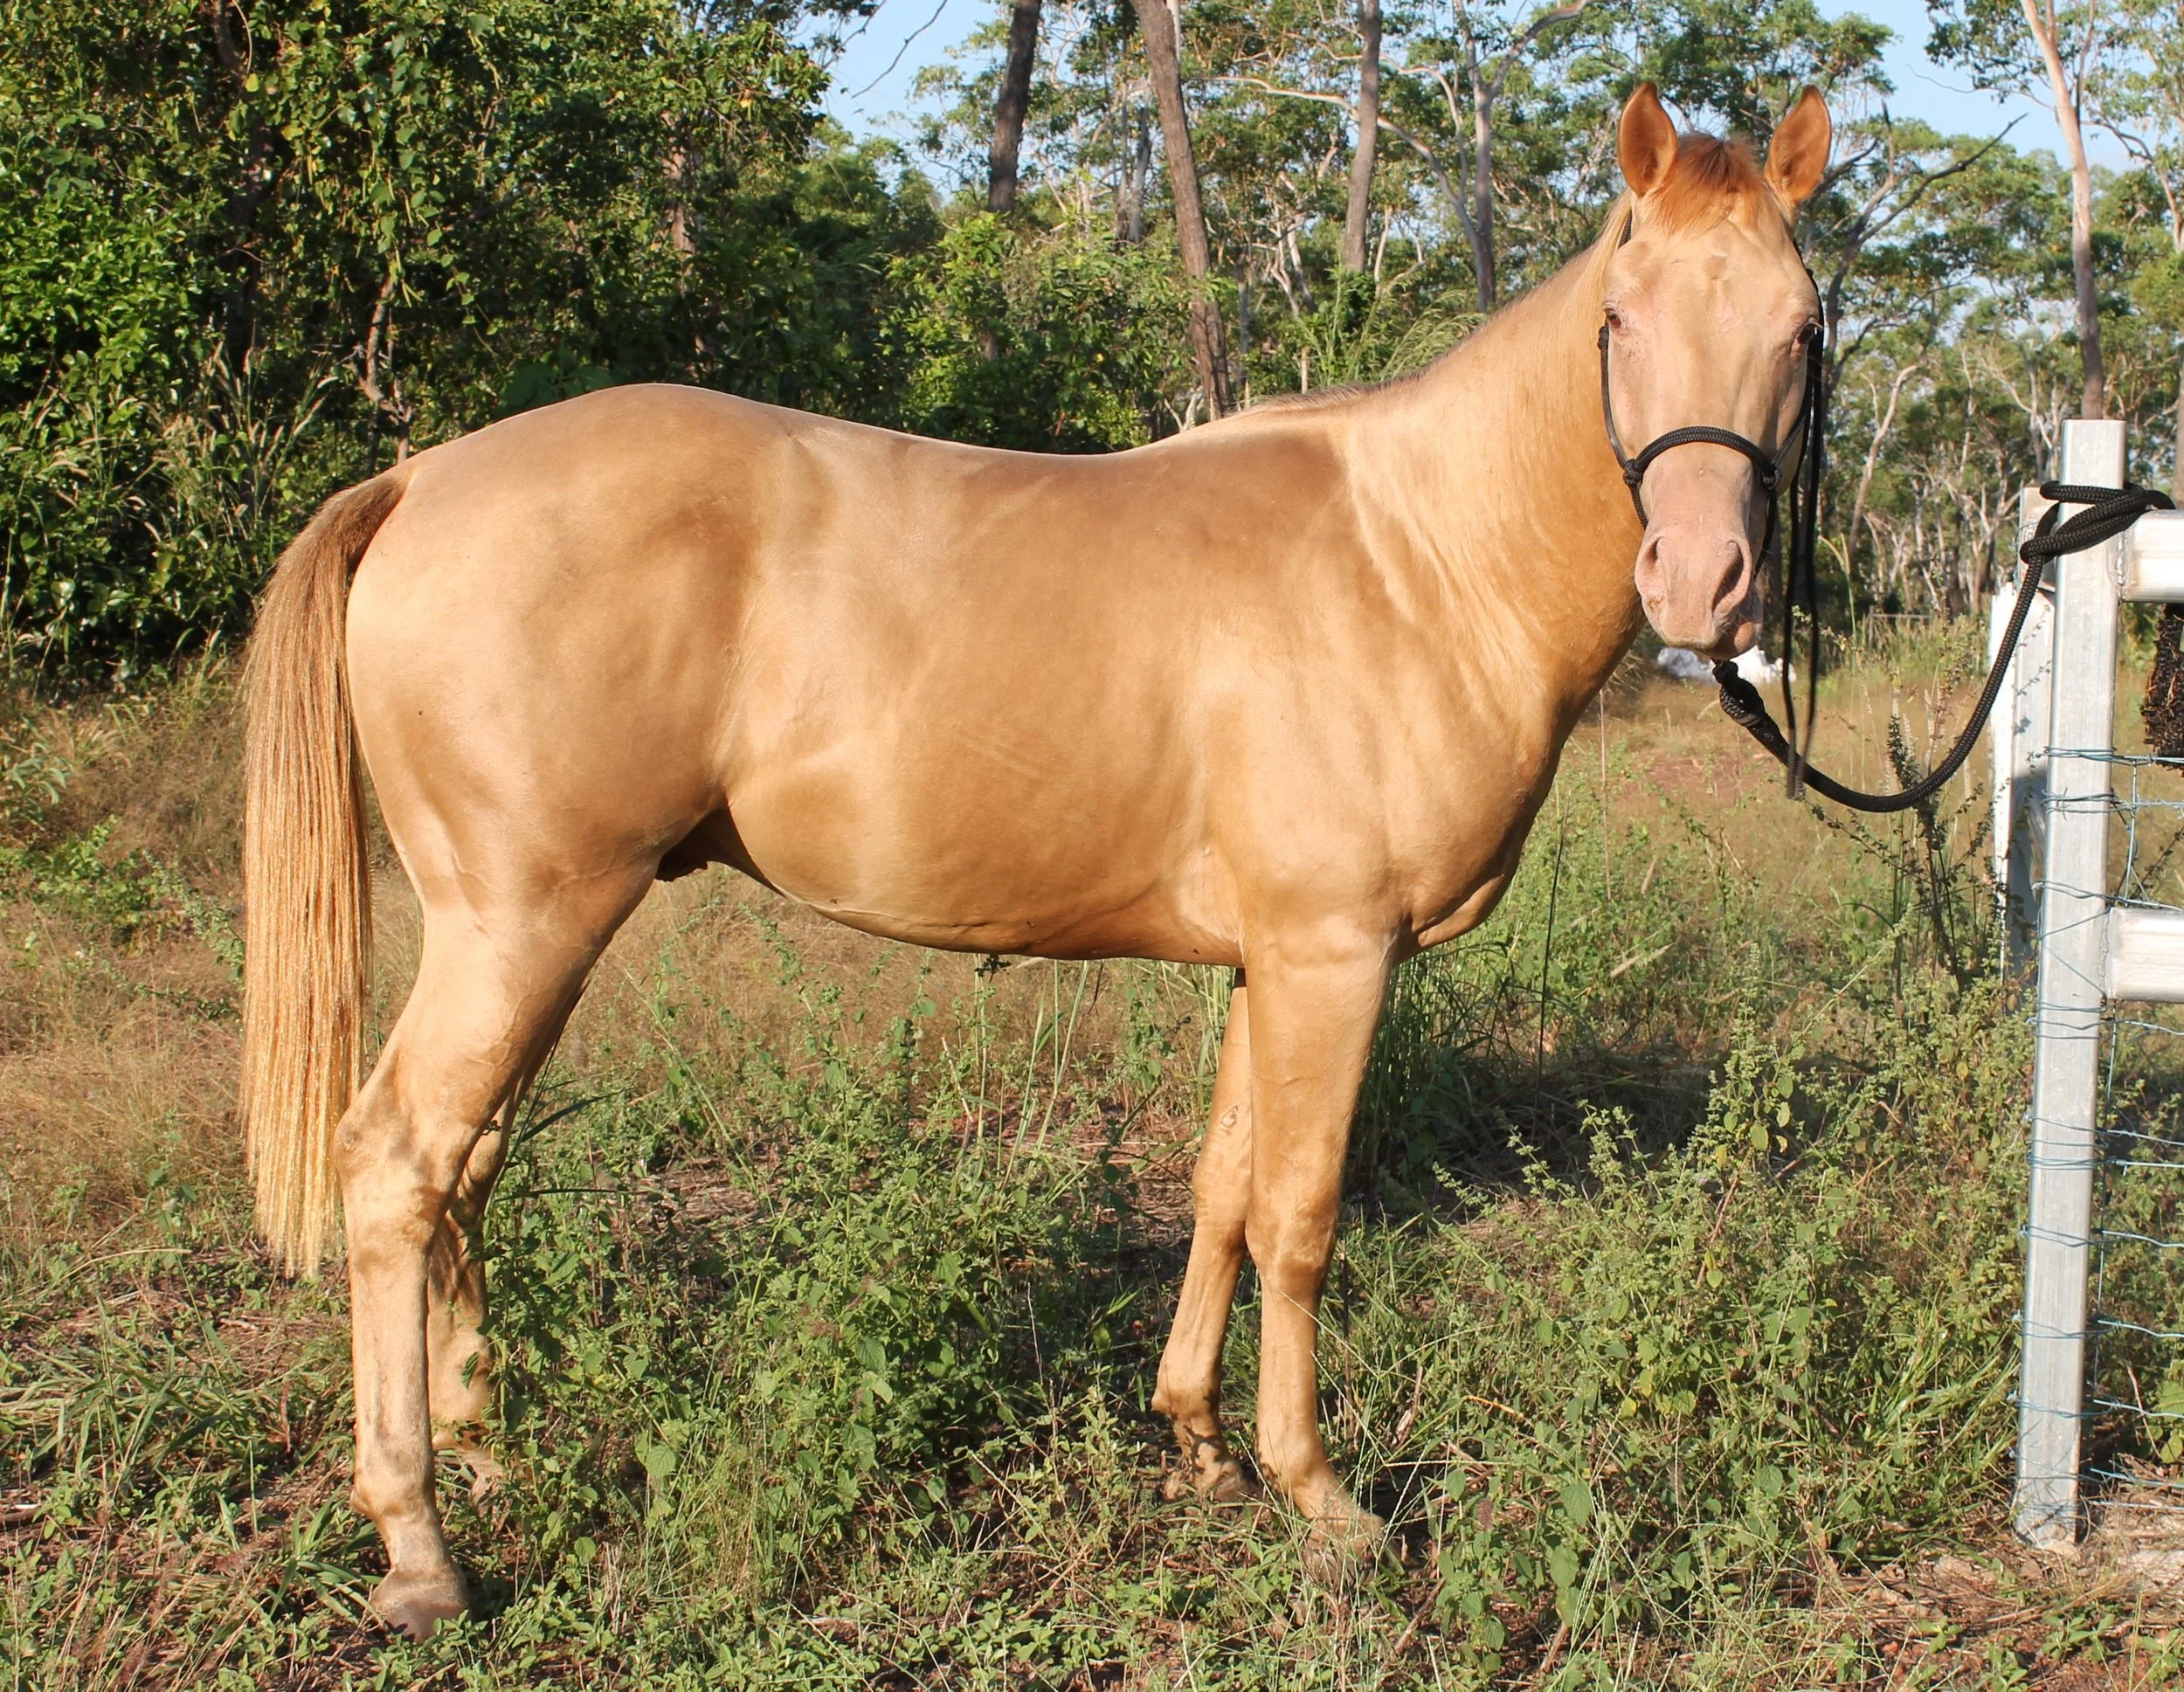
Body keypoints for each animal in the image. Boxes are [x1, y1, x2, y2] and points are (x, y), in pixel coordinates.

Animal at [240, 82, 1831, 1635]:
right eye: (1621, 316)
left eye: (1800, 325)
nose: (1703, 587)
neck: (1415, 559)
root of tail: (419, 479)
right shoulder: (1334, 956)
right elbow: (1301, 1217)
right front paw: (1320, 1500)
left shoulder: (1266, 961)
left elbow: (1223, 1185)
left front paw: (1198, 1441)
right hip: (518, 925)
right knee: (398, 1163)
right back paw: (419, 1543)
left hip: (534, 937)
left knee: (469, 1167)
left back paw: (487, 1454)